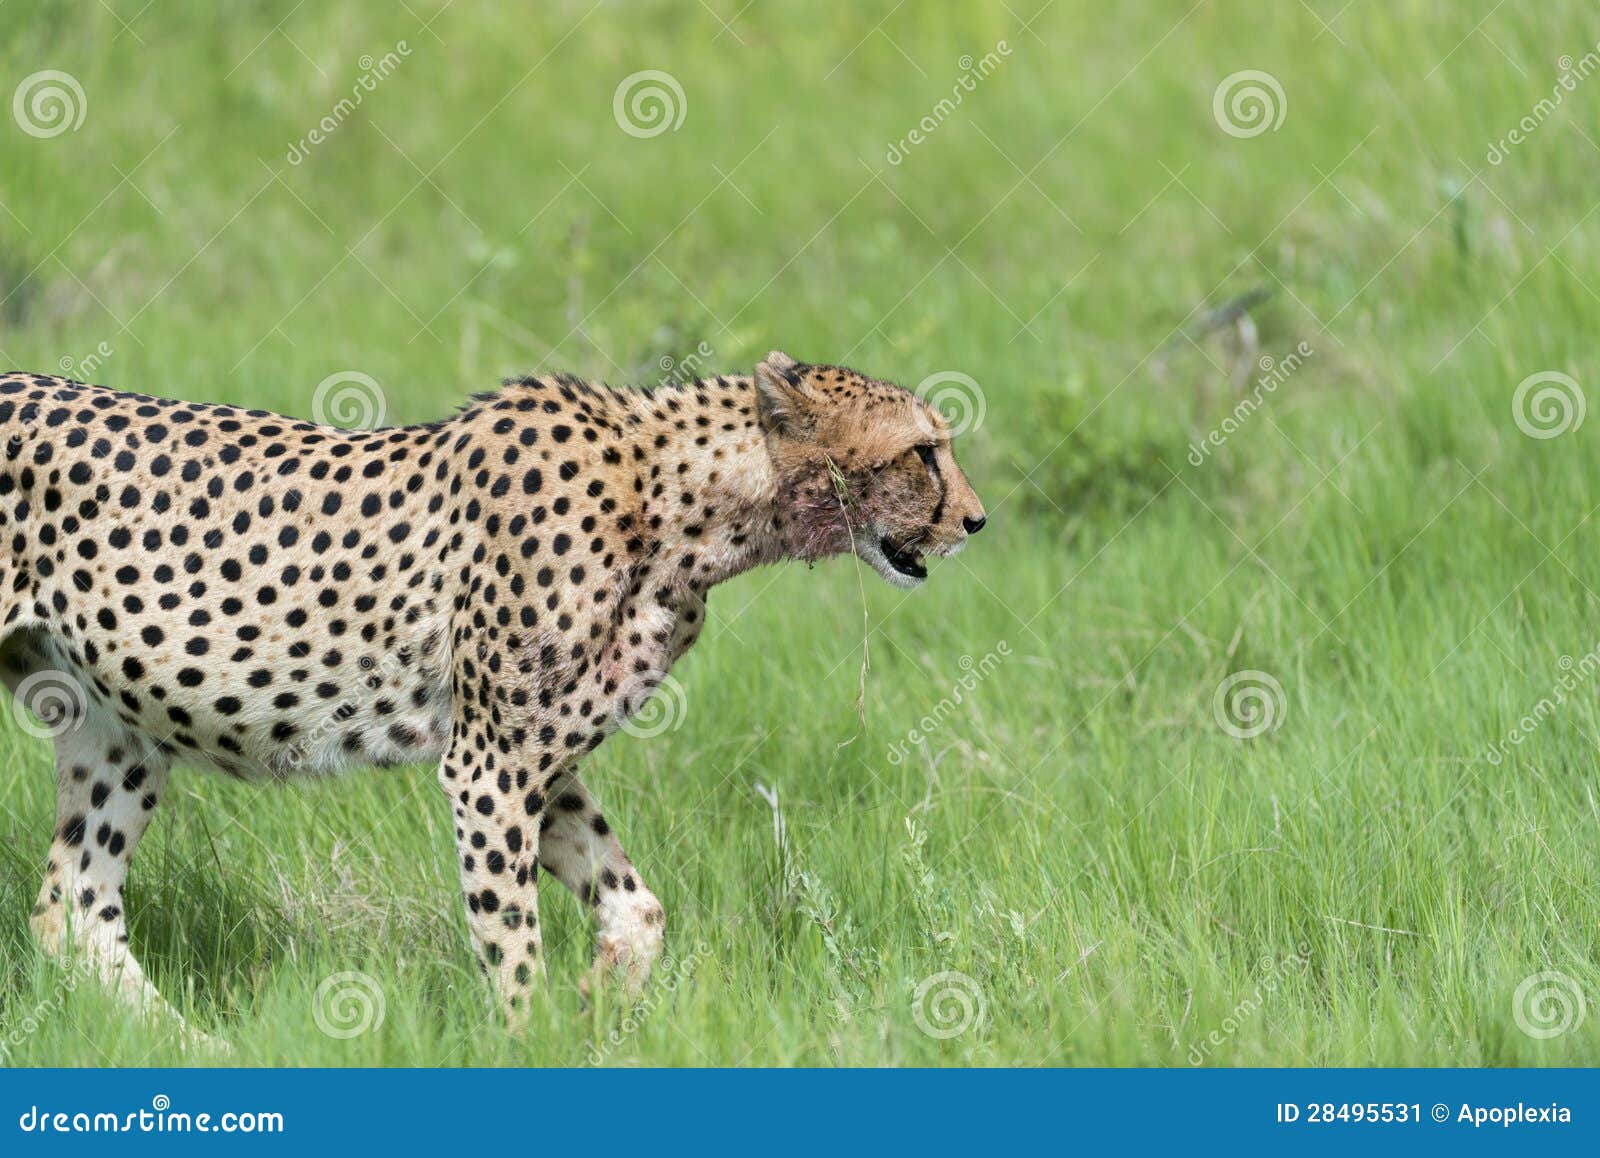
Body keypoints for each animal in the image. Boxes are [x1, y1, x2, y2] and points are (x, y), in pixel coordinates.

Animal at [0, 350, 986, 1039]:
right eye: (923, 450)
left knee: (70, 908)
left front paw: (594, 1008)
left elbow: (640, 911)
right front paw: (533, 1038)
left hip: (116, 726)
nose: (976, 520)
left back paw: (206, 1051)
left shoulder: (536, 763)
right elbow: (512, 947)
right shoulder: (489, 767)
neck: (687, 507)